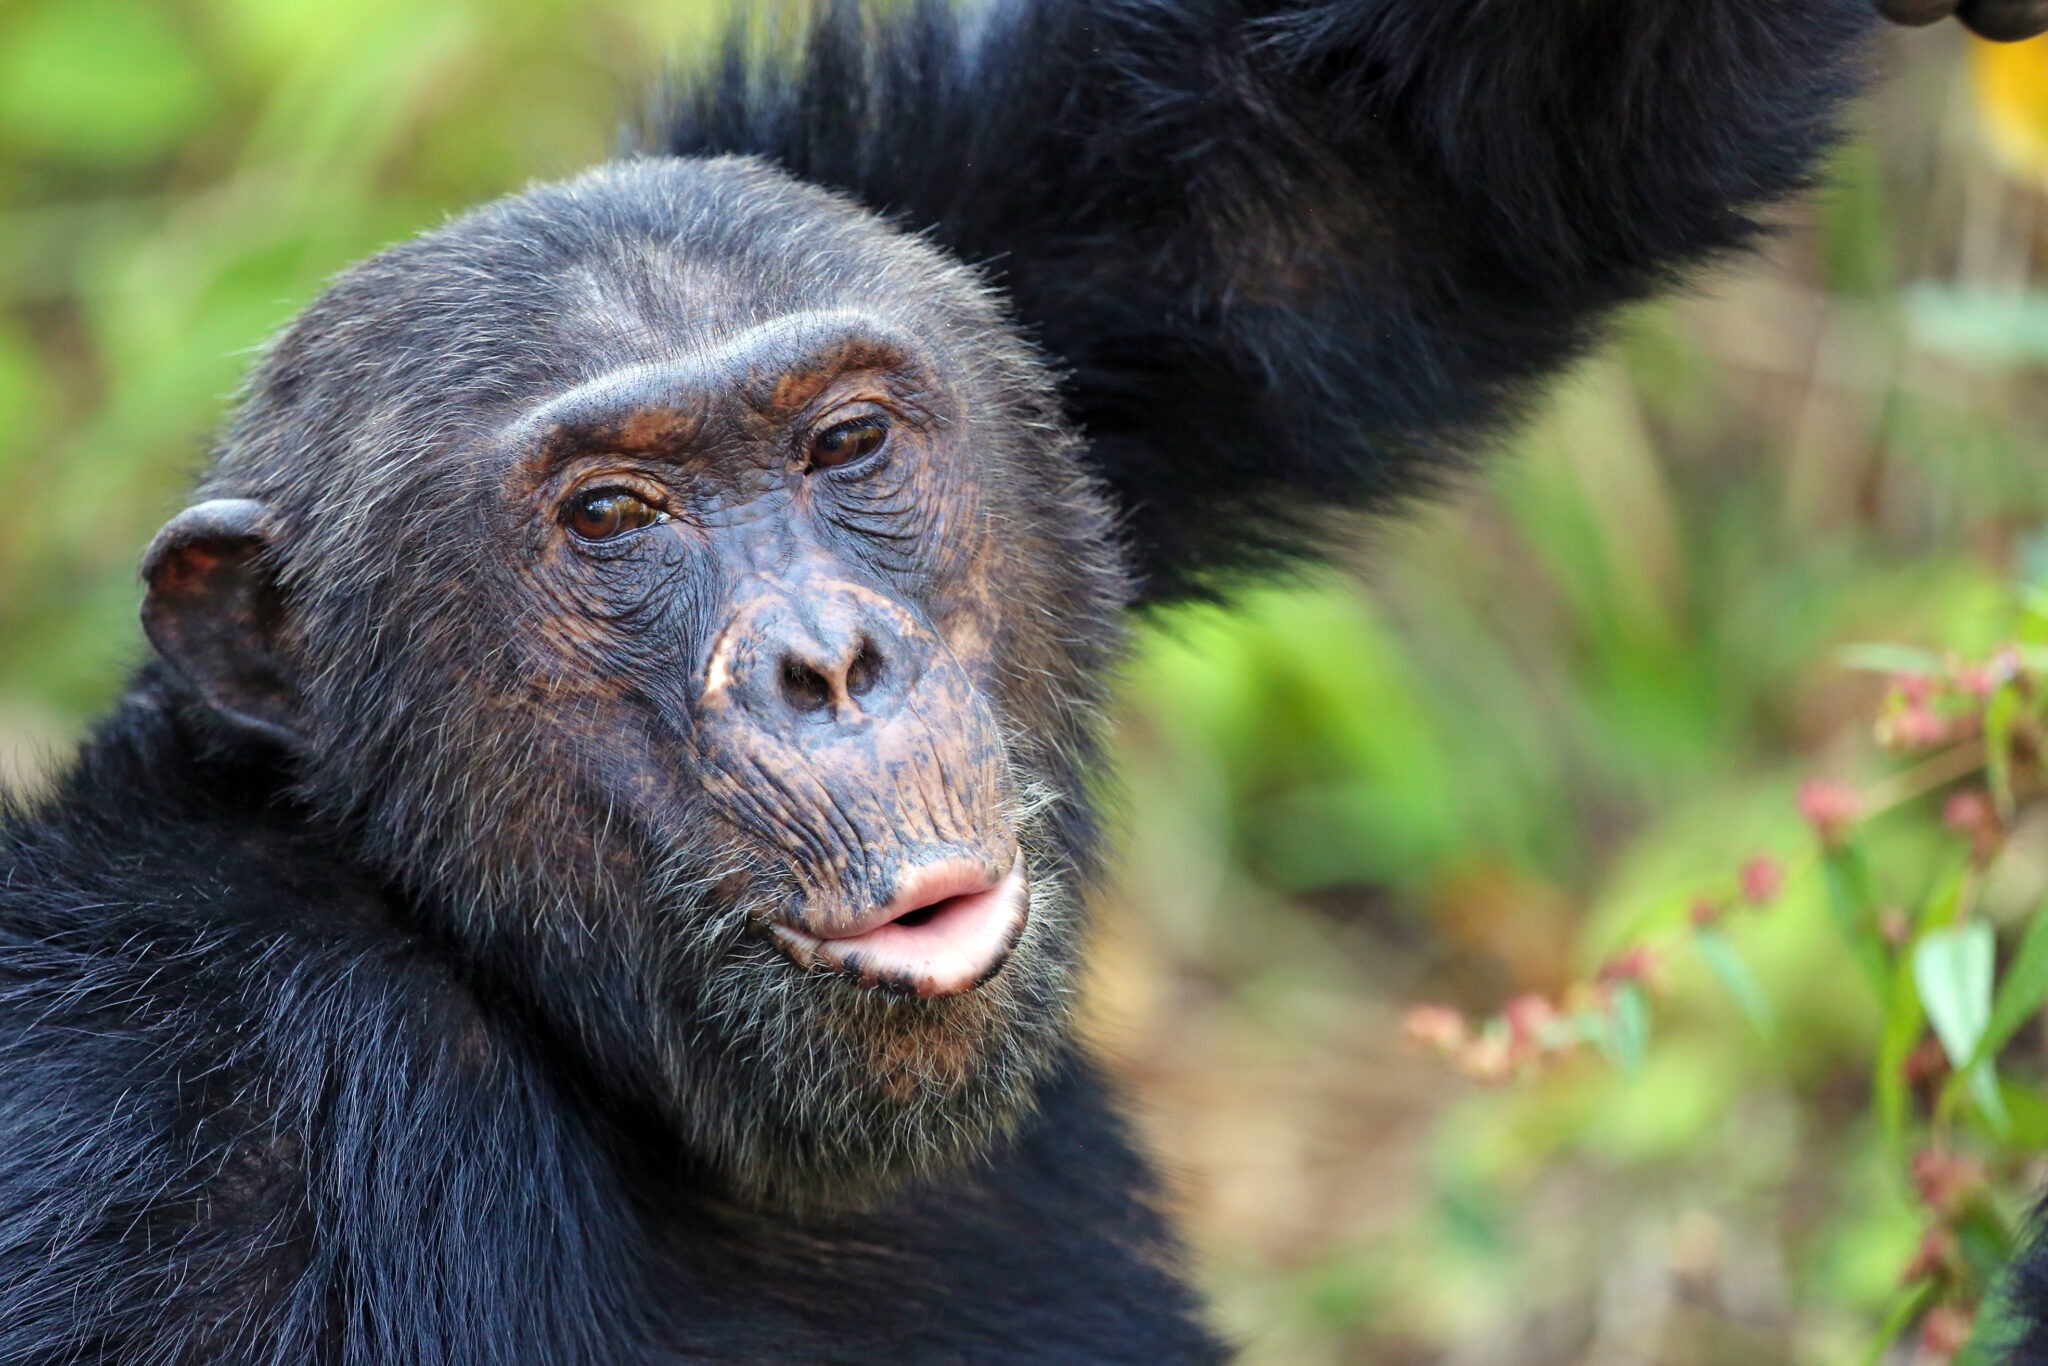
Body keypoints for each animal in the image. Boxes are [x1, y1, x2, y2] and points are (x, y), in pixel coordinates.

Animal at [3, 2, 2043, 1362]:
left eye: (842, 443)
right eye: (608, 515)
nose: (827, 661)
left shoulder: (1012, 255)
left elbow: (1354, 157)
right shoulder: (208, 1144)